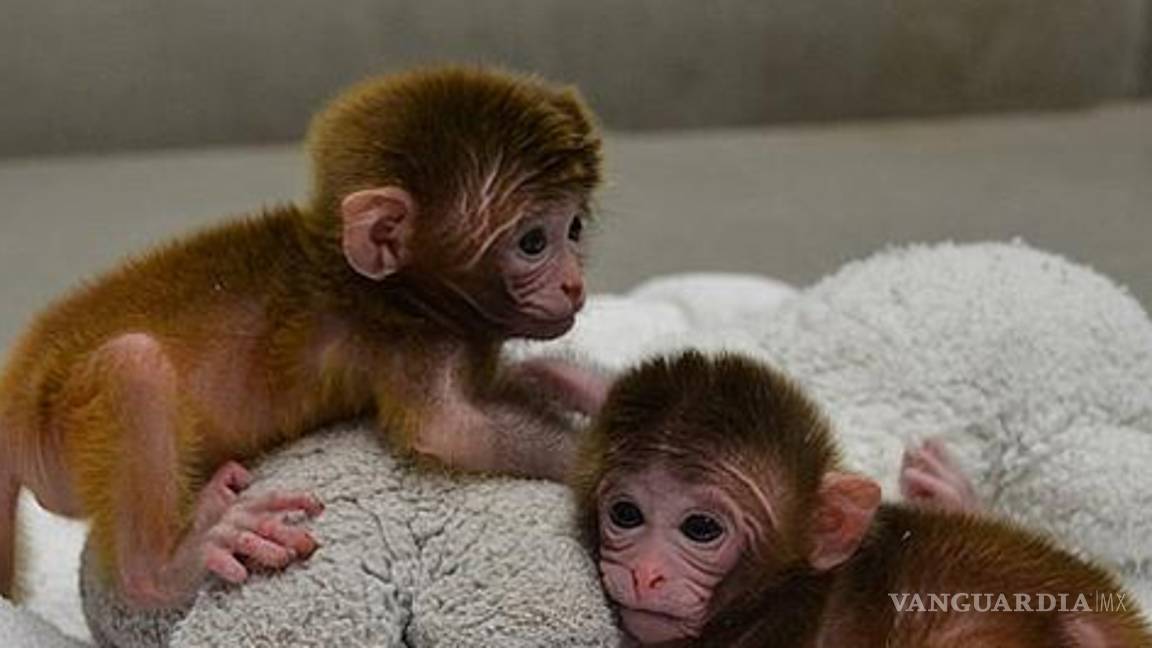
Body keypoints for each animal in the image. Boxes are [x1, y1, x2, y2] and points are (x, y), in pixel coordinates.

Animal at [0, 65, 604, 608]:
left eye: (574, 229)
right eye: (532, 242)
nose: (574, 284)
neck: (376, 285)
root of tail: (15, 395)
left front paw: (572, 382)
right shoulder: (410, 343)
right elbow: (452, 431)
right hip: (56, 440)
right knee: (133, 363)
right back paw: (164, 567)